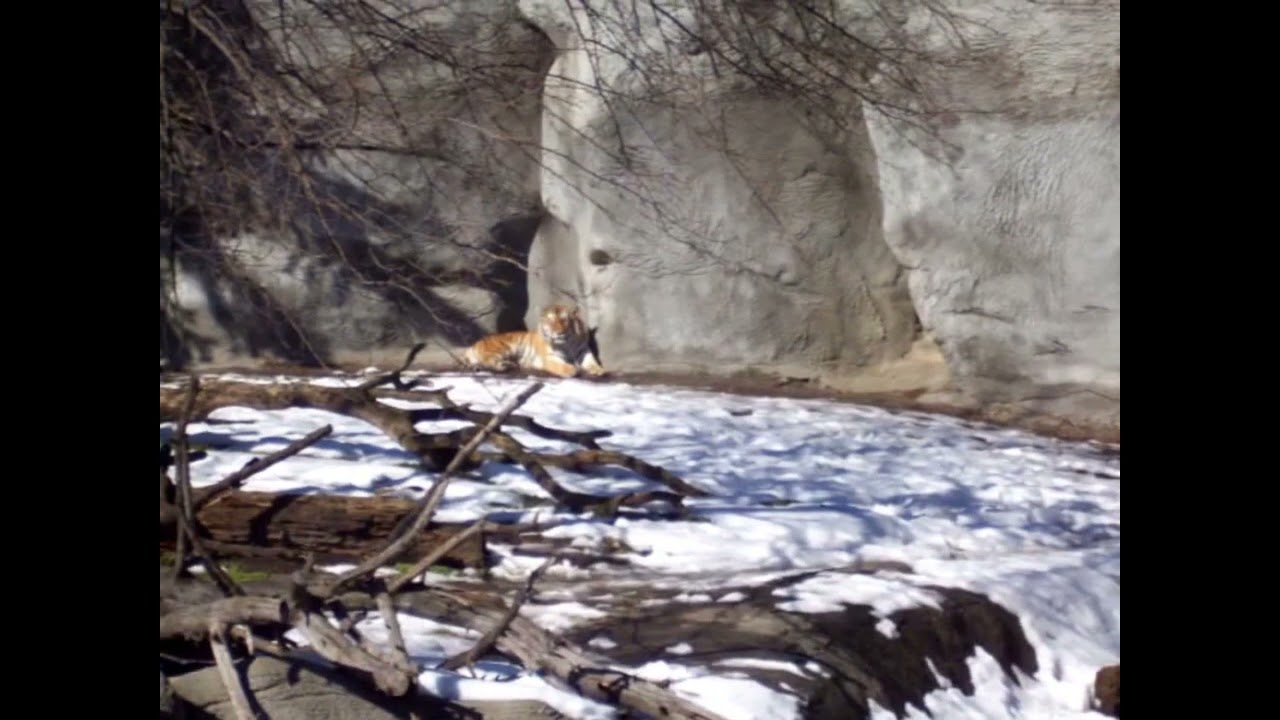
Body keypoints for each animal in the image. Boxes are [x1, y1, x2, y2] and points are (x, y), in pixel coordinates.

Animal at [461, 303, 607, 379]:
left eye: (564, 320)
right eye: (551, 321)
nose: (559, 333)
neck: (567, 344)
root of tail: (476, 343)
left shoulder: (584, 351)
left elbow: (591, 361)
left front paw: (598, 370)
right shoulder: (550, 358)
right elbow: (562, 366)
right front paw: (572, 370)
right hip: (503, 347)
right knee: (487, 360)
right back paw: (504, 365)